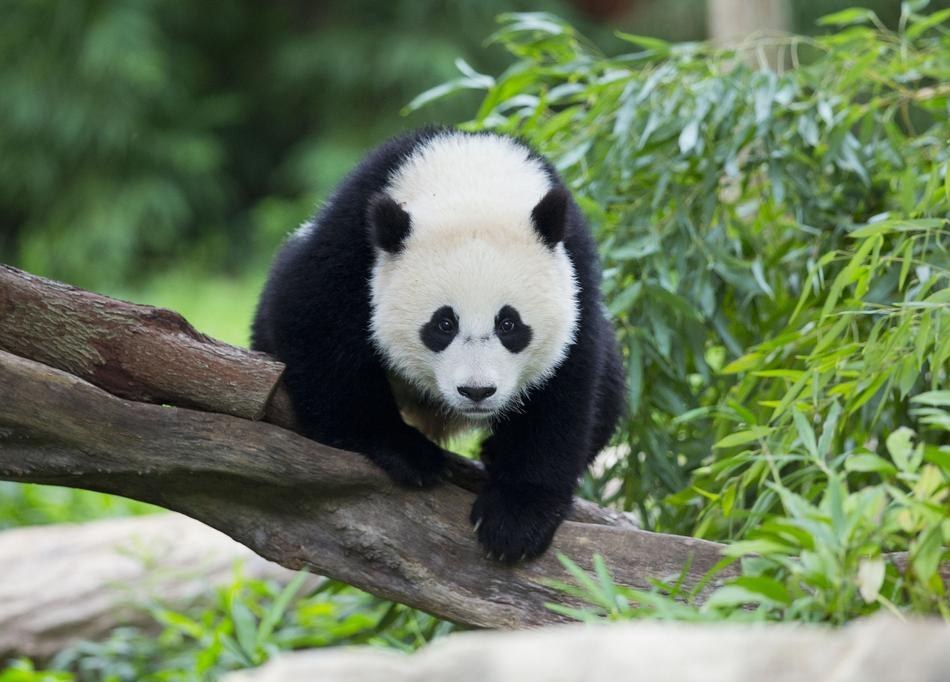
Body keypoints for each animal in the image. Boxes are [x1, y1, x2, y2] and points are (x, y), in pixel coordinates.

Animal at [252, 127, 625, 563]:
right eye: (444, 324)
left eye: (509, 324)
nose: (477, 391)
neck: (469, 175)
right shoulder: (353, 239)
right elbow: (316, 325)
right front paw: (407, 453)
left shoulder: (574, 271)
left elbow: (565, 388)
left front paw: (515, 519)